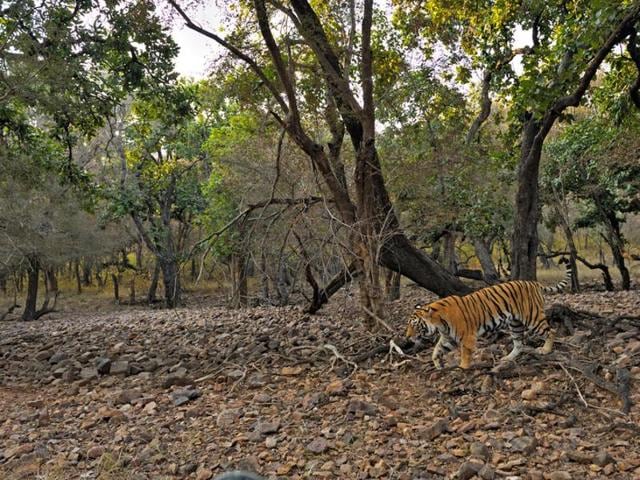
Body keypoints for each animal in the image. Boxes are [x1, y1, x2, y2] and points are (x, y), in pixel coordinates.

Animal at [405, 259, 572, 369]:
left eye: (414, 325)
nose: (407, 337)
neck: (439, 323)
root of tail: (533, 283)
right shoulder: (448, 338)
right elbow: (437, 350)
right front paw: (437, 363)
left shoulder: (467, 337)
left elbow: (465, 354)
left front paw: (462, 368)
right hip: (515, 324)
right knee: (519, 343)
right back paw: (507, 358)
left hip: (533, 317)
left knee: (551, 331)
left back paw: (545, 350)